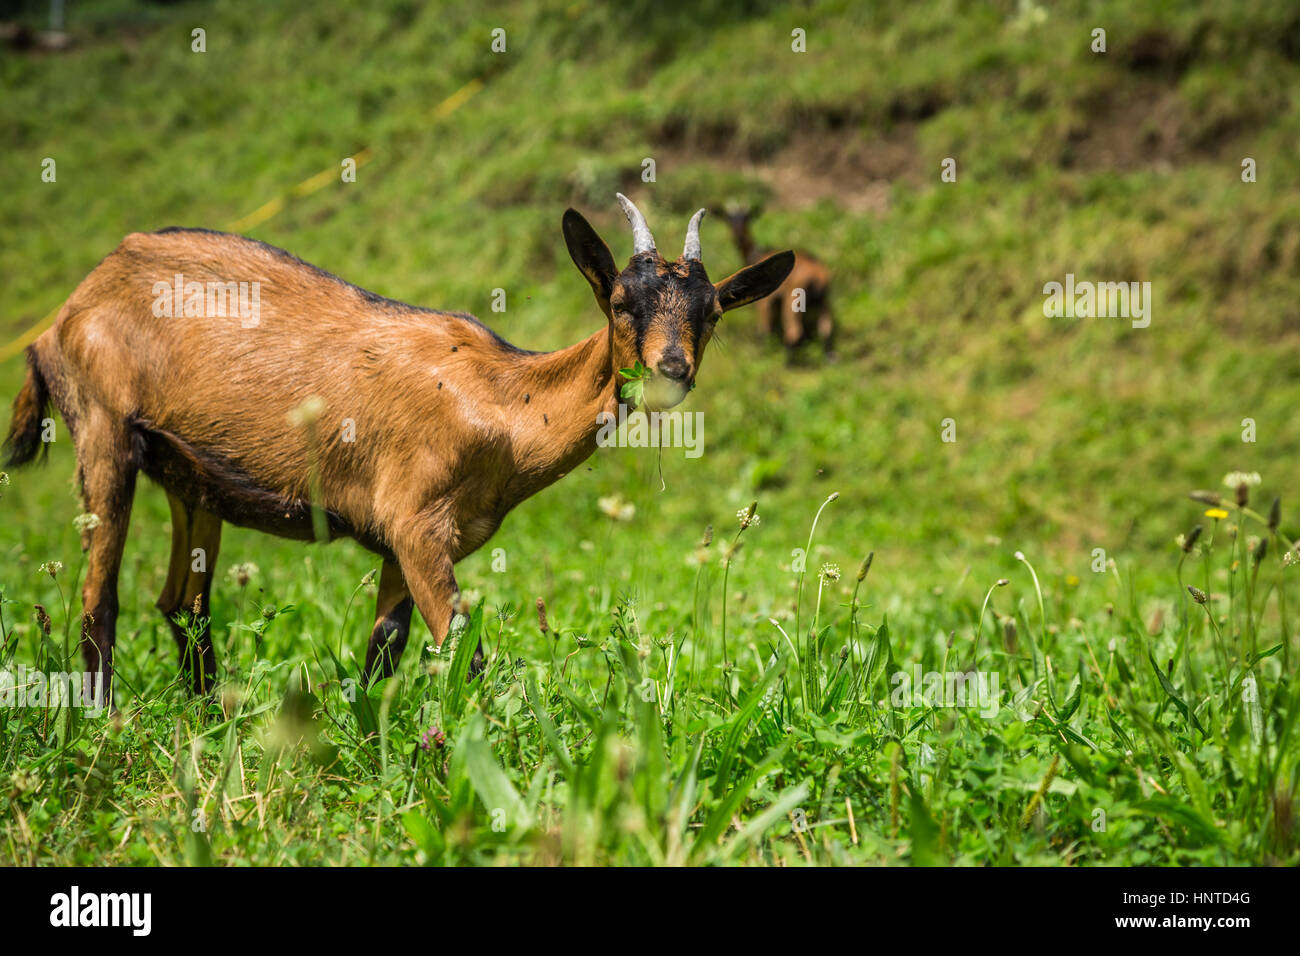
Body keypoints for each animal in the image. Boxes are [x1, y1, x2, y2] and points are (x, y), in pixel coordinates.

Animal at [2, 196, 794, 703]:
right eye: (622, 302)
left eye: (712, 314)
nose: (671, 371)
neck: (504, 403)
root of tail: (64, 314)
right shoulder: (417, 524)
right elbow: (463, 650)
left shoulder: (397, 538)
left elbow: (384, 648)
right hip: (102, 431)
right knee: (99, 597)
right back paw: (103, 720)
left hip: (191, 478)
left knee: (182, 605)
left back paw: (201, 717)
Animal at [719, 205, 834, 359]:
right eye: (728, 219)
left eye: (747, 217)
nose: (738, 235)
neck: (757, 255)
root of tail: (818, 275)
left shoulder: (764, 302)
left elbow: (763, 329)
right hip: (824, 300)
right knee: (826, 328)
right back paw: (830, 357)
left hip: (793, 300)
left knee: (794, 331)